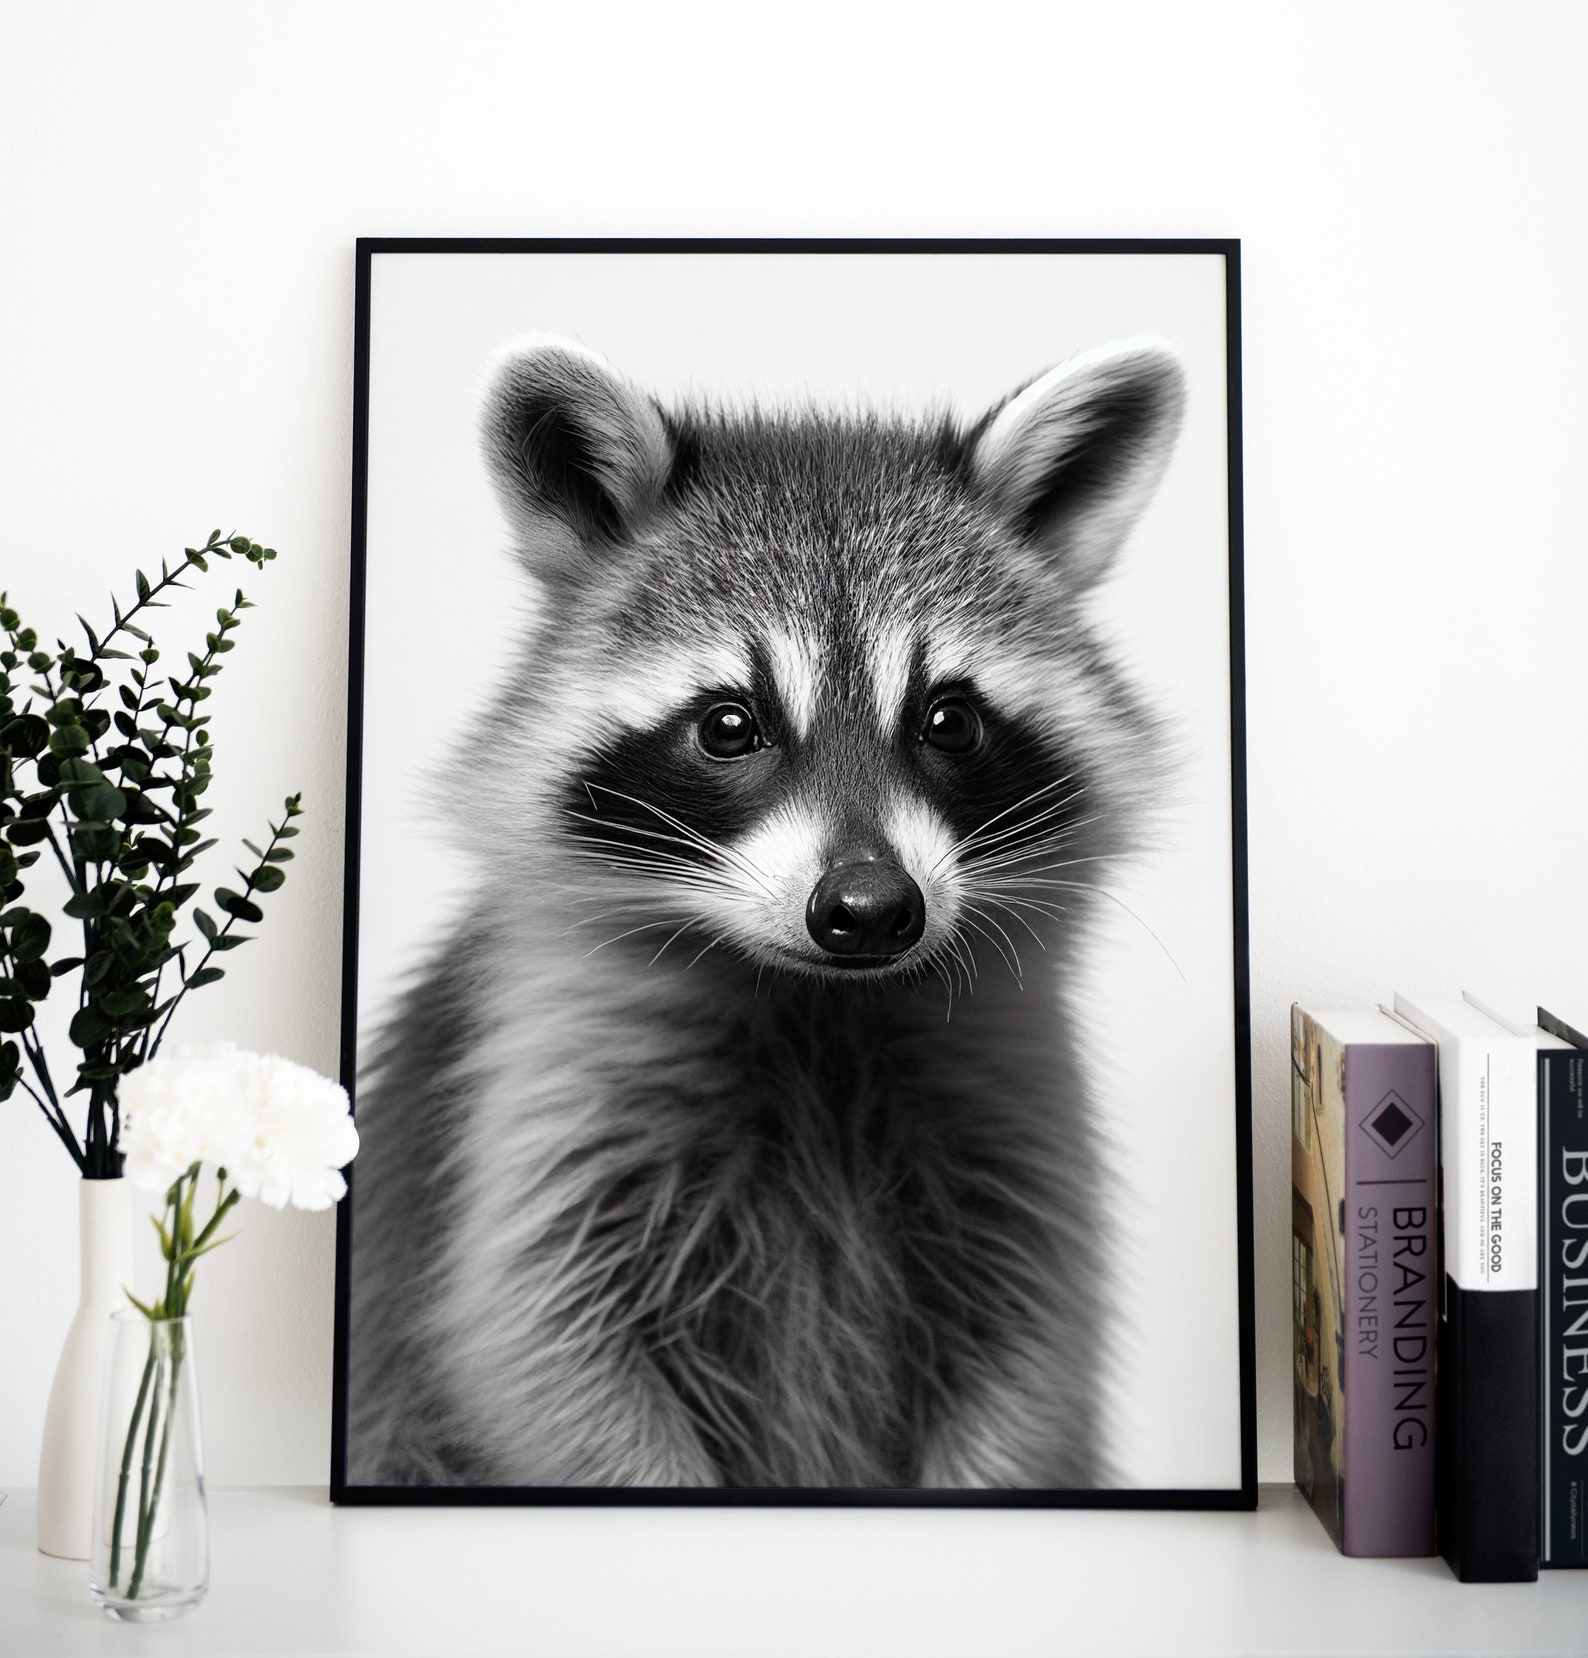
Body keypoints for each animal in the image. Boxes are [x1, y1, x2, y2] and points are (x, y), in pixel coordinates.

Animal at [346, 333, 1186, 1490]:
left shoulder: (1012, 1124)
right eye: (730, 725)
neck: (819, 1004)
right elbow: (542, 1359)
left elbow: (1031, 1377)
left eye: (949, 720)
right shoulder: (543, 1105)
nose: (872, 909)